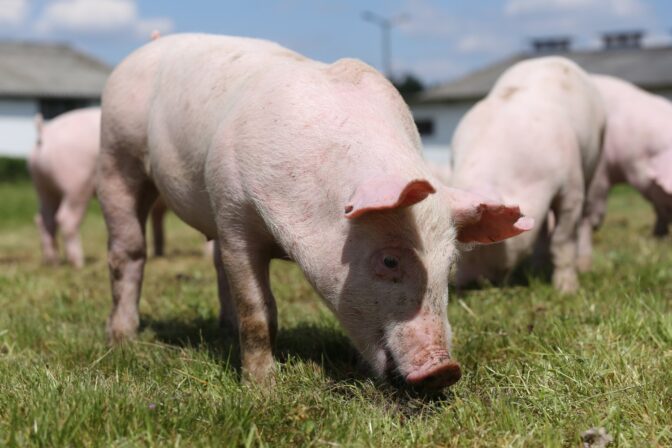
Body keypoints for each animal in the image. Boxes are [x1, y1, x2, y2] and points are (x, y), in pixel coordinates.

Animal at [28, 107, 168, 267]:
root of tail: (45, 131)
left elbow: (158, 220)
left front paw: (159, 253)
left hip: (43, 187)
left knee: (43, 219)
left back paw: (53, 262)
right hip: (76, 184)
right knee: (65, 218)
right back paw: (79, 263)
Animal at [97, 33, 533, 388]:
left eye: (450, 265)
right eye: (389, 261)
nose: (444, 369)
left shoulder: (228, 213)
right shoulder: (236, 214)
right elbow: (258, 311)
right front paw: (263, 390)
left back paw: (222, 330)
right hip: (117, 153)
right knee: (127, 251)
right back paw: (122, 339)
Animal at [450, 57, 605, 294]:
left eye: (490, 237)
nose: (468, 284)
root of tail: (552, 58)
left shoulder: (571, 187)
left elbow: (563, 238)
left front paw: (566, 290)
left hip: (596, 157)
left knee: (585, 218)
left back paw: (584, 266)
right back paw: (537, 268)